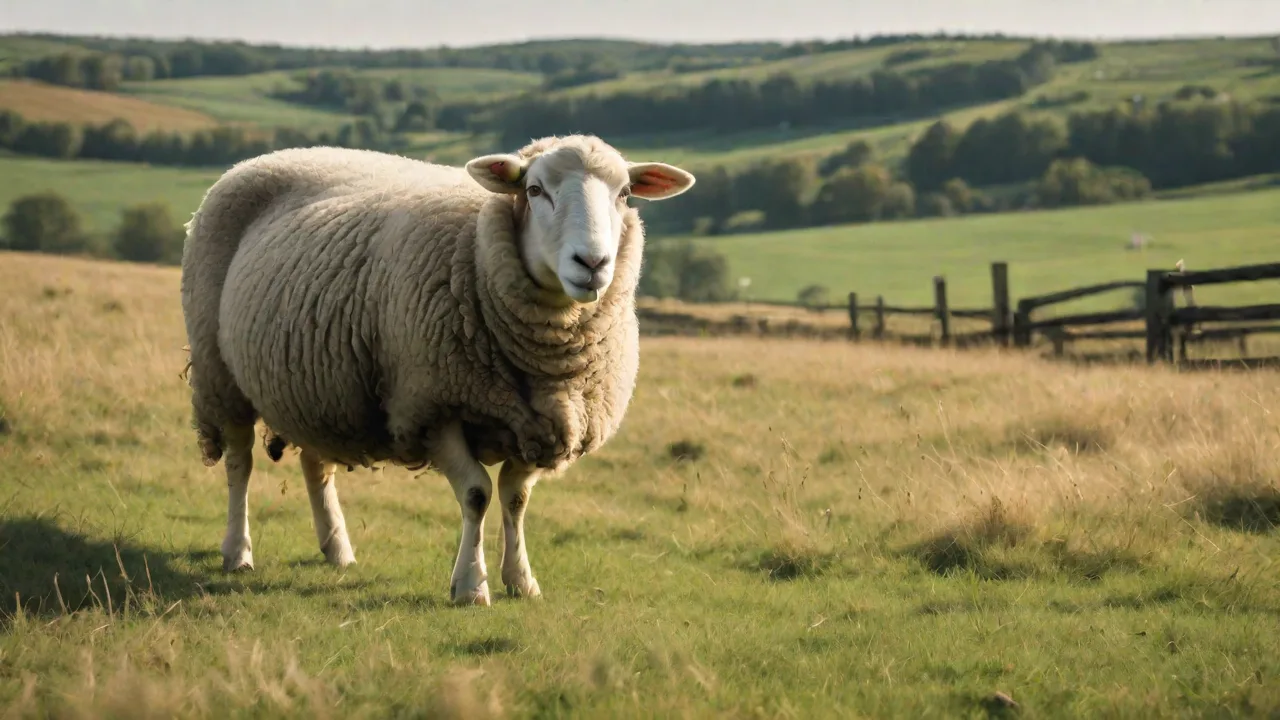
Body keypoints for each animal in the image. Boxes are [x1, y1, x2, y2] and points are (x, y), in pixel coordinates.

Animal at [180, 135, 695, 605]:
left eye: (625, 194)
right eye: (533, 189)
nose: (592, 263)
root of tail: (278, 152)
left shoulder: (544, 421)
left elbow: (515, 499)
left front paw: (521, 580)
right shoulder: (432, 406)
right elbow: (477, 494)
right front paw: (470, 585)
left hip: (319, 385)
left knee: (315, 463)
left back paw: (337, 549)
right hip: (218, 372)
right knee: (240, 461)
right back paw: (238, 551)